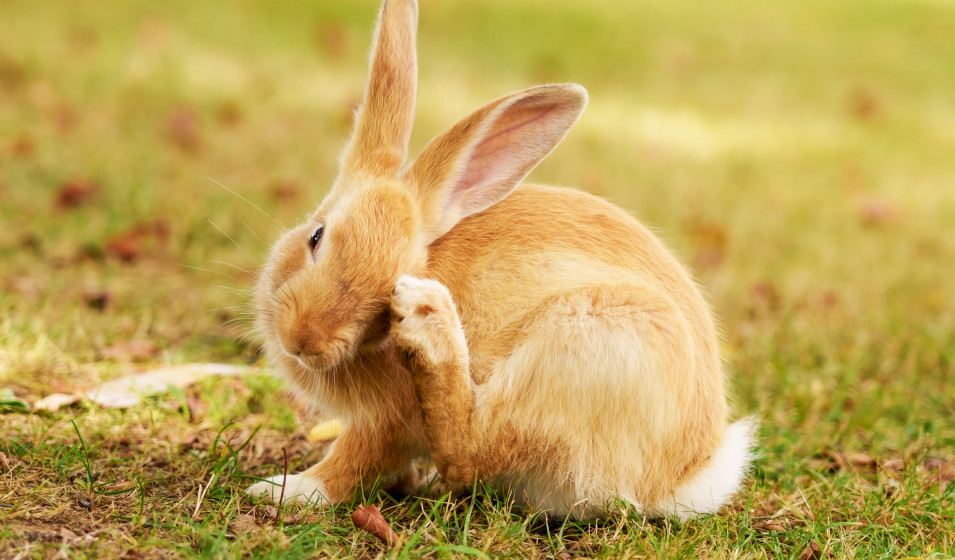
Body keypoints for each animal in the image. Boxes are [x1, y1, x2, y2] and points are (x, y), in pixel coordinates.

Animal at [246, 0, 755, 520]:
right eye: (316, 237)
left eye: (390, 288)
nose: (304, 341)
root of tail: (678, 478)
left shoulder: (386, 422)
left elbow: (353, 463)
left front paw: (283, 489)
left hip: (583, 348)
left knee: (471, 451)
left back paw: (431, 323)